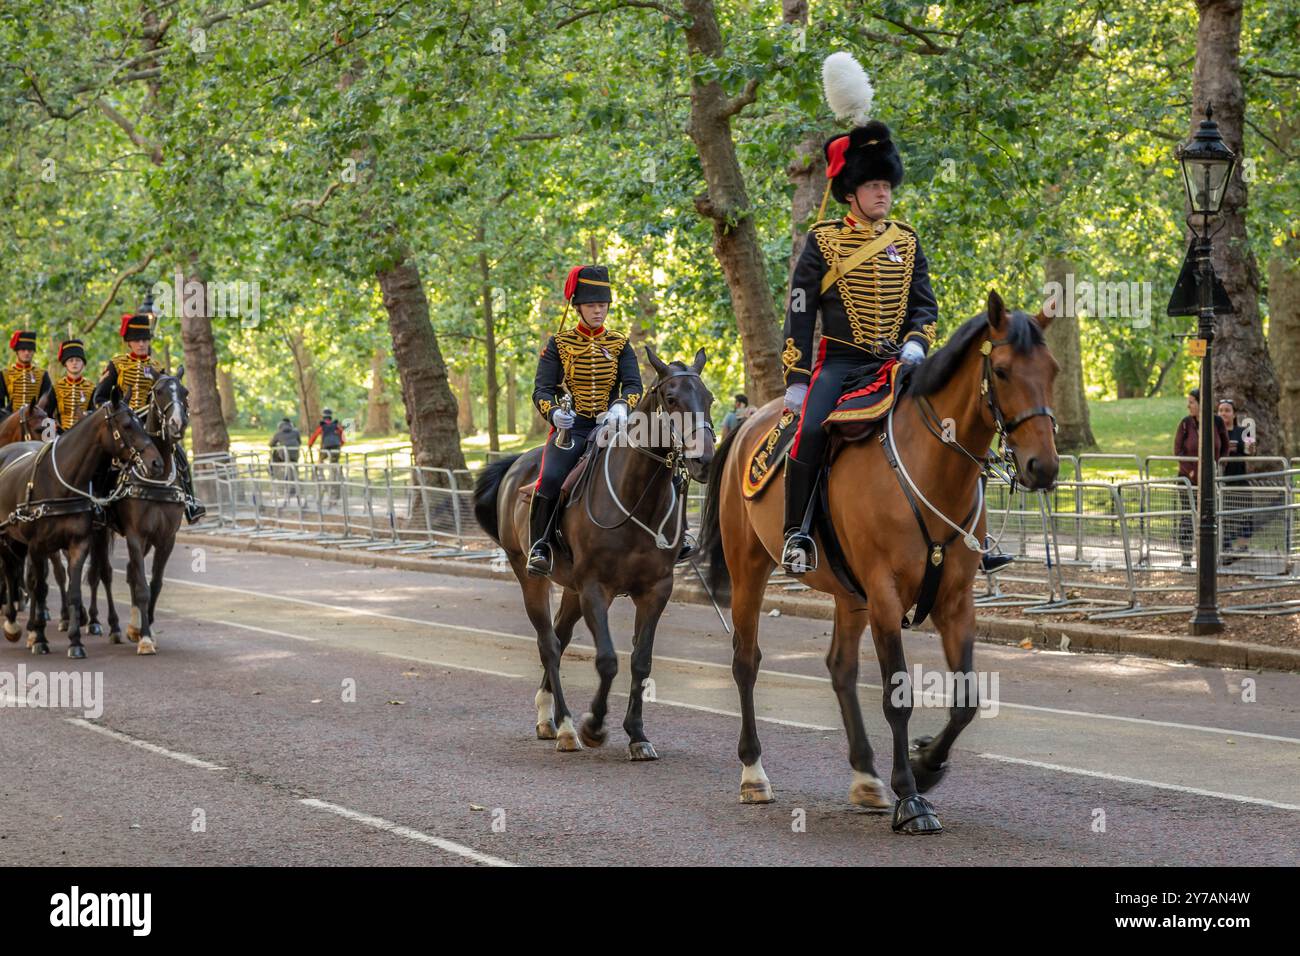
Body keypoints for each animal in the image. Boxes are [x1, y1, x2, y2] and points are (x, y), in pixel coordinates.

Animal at [0, 399, 164, 658]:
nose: (156, 463)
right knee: (11, 571)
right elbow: (40, 586)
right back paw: (14, 624)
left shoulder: (79, 543)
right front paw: (39, 638)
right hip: (9, 537)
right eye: (127, 425)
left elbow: (74, 590)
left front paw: (75, 641)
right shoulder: (37, 545)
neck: (61, 483)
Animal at [473, 347, 715, 758]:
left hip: (570, 588)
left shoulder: (655, 590)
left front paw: (637, 734)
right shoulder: (595, 589)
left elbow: (641, 661)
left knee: (559, 638)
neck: (636, 500)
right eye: (671, 399)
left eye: (709, 398)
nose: (705, 460)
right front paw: (594, 726)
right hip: (531, 576)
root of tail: (518, 464)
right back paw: (567, 727)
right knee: (549, 644)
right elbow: (606, 660)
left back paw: (547, 717)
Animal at [699, 291, 1059, 834]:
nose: (1045, 467)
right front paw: (911, 795)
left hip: (849, 592)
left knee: (840, 669)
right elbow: (897, 696)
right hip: (750, 570)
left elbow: (966, 701)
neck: (930, 466)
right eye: (1001, 370)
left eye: (1053, 370)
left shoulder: (956, 599)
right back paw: (754, 773)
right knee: (746, 661)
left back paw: (866, 776)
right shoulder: (886, 595)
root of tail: (751, 421)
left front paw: (927, 764)